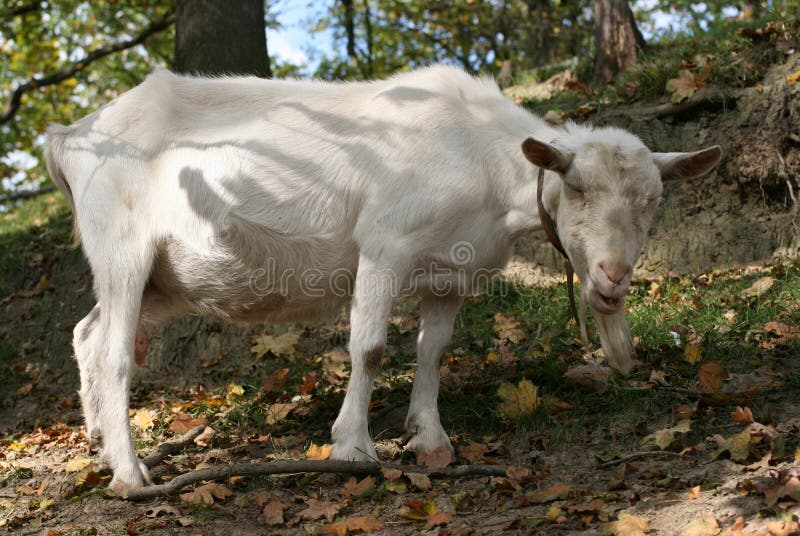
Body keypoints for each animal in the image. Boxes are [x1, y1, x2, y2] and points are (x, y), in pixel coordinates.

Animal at [45, 65, 721, 495]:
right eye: (576, 187)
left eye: (654, 201)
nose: (613, 275)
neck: (480, 159)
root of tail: (68, 137)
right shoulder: (385, 245)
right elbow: (369, 348)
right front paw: (353, 447)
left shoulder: (451, 273)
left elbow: (433, 353)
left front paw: (430, 440)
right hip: (123, 251)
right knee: (114, 354)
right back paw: (129, 474)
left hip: (164, 279)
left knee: (85, 332)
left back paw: (98, 439)